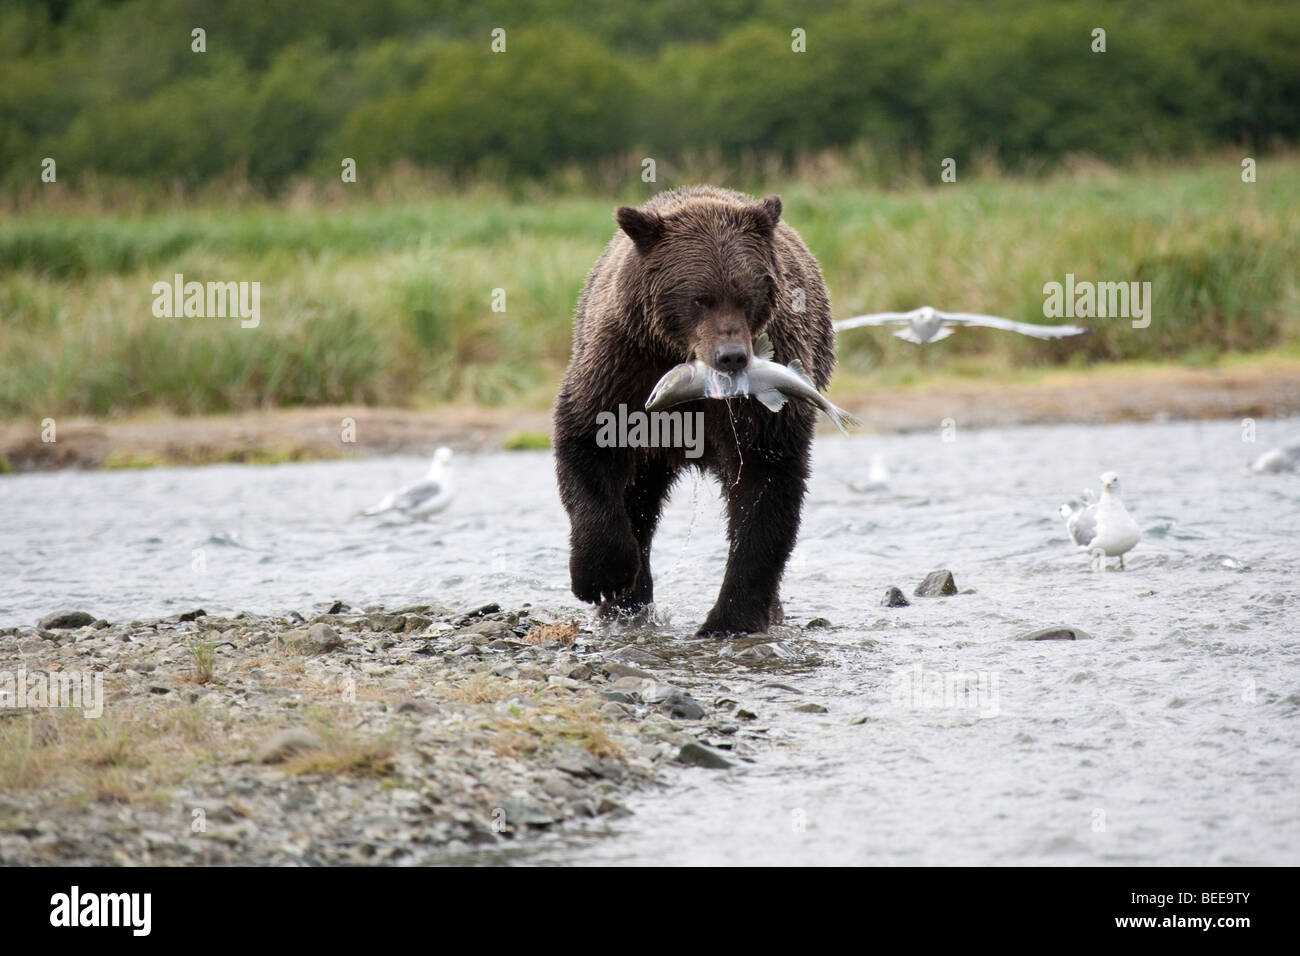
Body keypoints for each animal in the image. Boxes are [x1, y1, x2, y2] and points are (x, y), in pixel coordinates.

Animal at [553, 185, 836, 635]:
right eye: (700, 298)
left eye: (746, 295)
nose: (732, 356)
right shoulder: (623, 364)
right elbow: (588, 439)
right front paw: (601, 578)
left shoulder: (758, 408)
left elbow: (766, 486)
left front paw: (730, 618)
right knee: (639, 501)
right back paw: (626, 601)